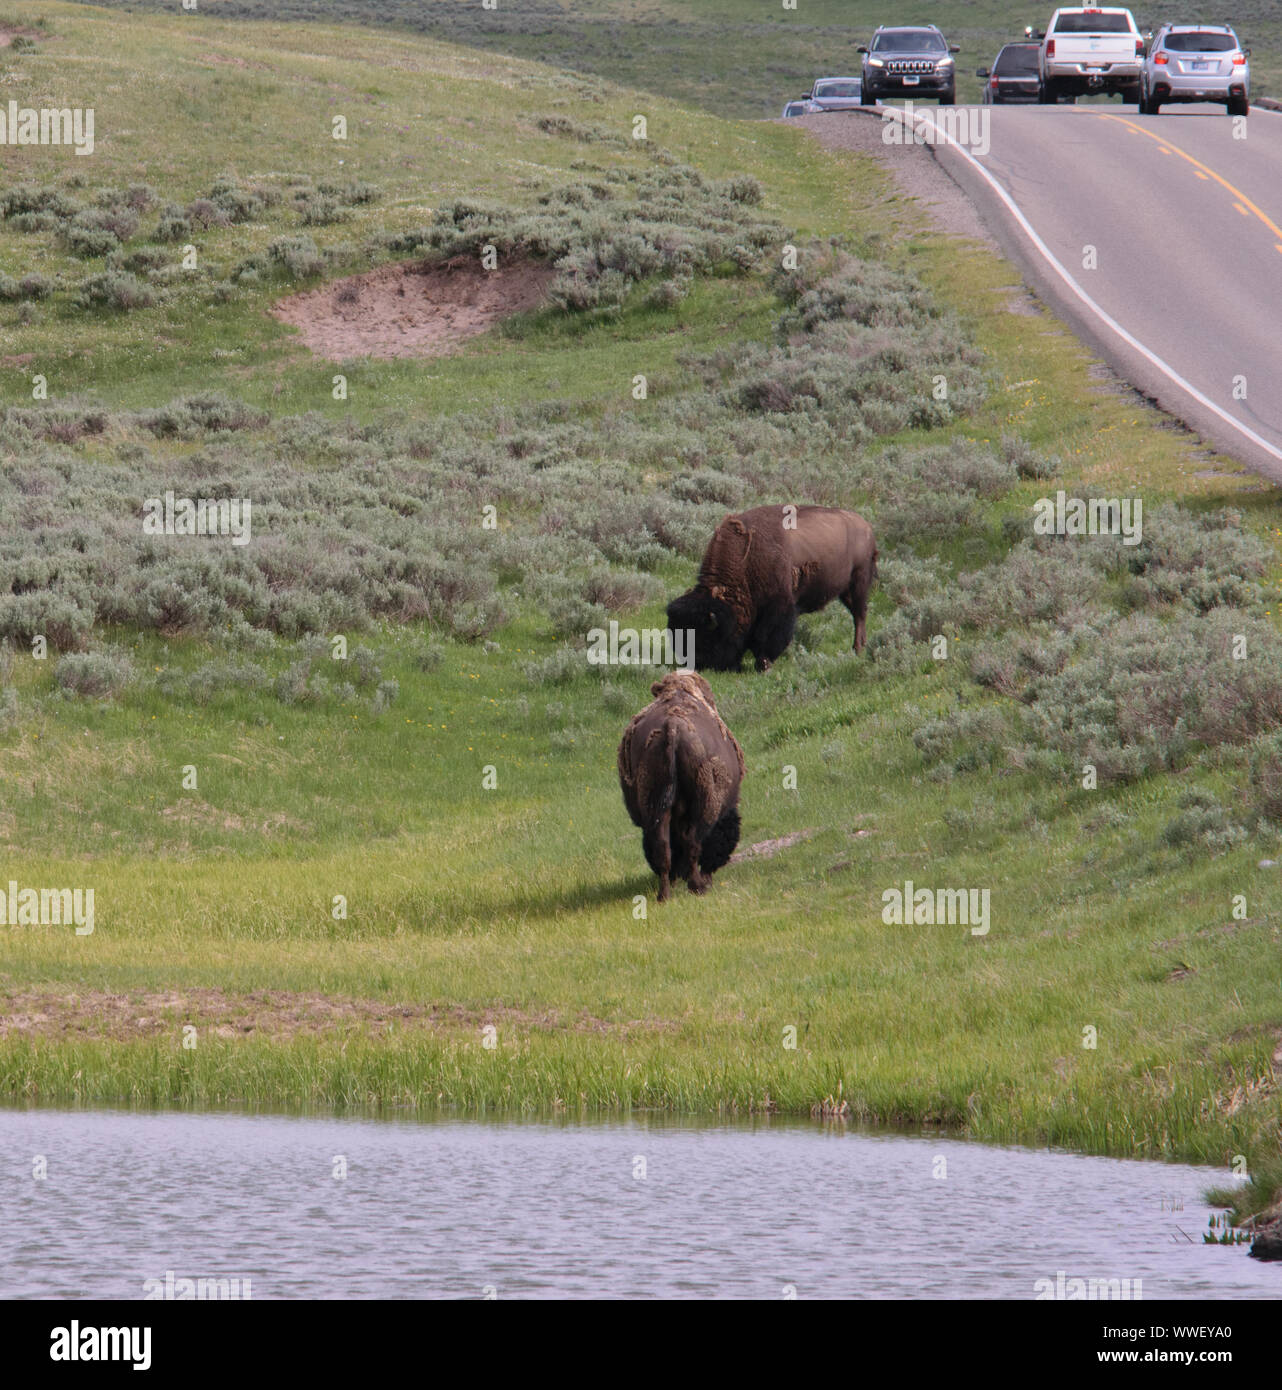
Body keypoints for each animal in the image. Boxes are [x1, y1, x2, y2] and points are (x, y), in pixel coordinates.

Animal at [617, 670, 745, 902]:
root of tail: (673, 728)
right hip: (702, 807)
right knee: (693, 842)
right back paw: (697, 887)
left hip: (656, 807)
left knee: (662, 847)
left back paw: (665, 894)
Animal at [666, 504, 877, 672]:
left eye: (706, 639)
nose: (697, 666)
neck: (746, 562)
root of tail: (866, 526)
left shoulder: (779, 606)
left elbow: (767, 636)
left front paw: (764, 665)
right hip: (845, 591)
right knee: (857, 613)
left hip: (859, 581)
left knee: (860, 615)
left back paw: (858, 649)